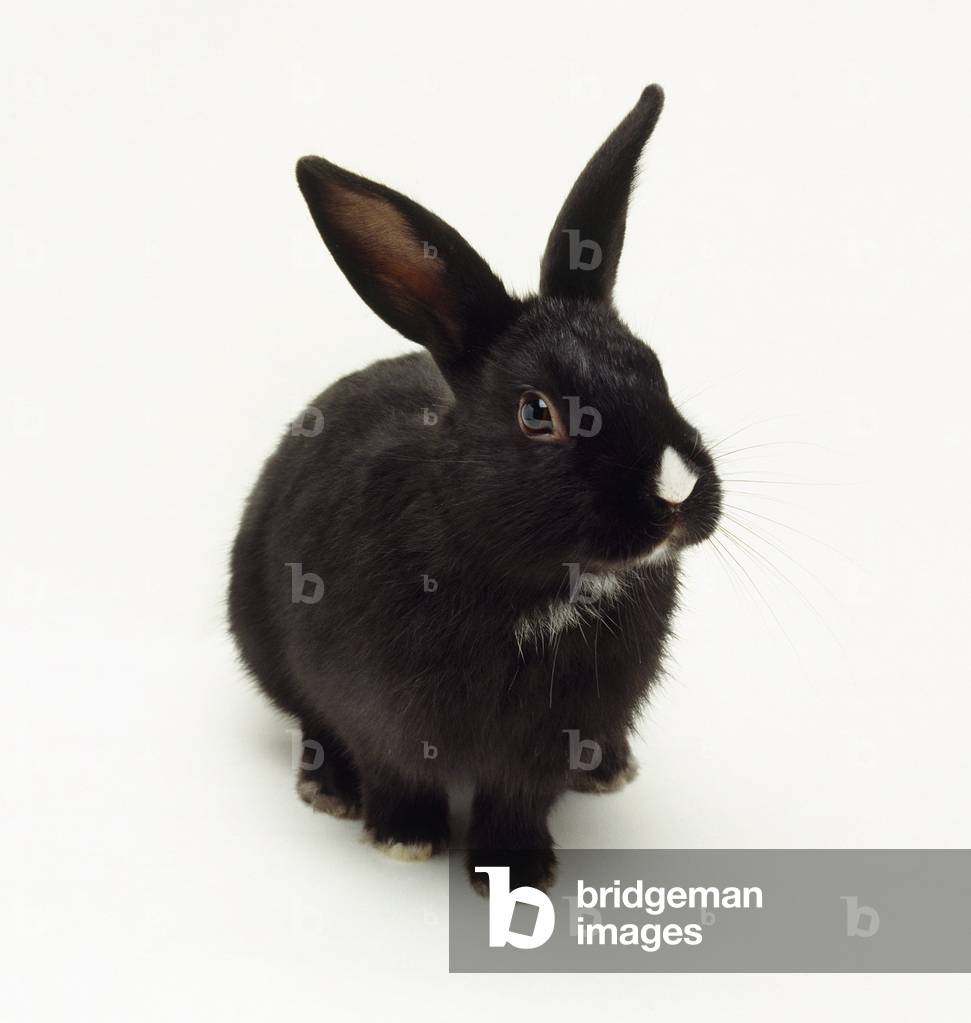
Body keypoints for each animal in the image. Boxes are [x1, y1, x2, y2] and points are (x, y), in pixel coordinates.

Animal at [228, 84, 722, 894]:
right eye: (536, 413)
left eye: (653, 368)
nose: (677, 497)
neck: (543, 589)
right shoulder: (377, 716)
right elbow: (395, 770)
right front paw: (405, 839)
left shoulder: (555, 737)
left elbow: (520, 799)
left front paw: (516, 870)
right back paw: (330, 788)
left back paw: (610, 771)